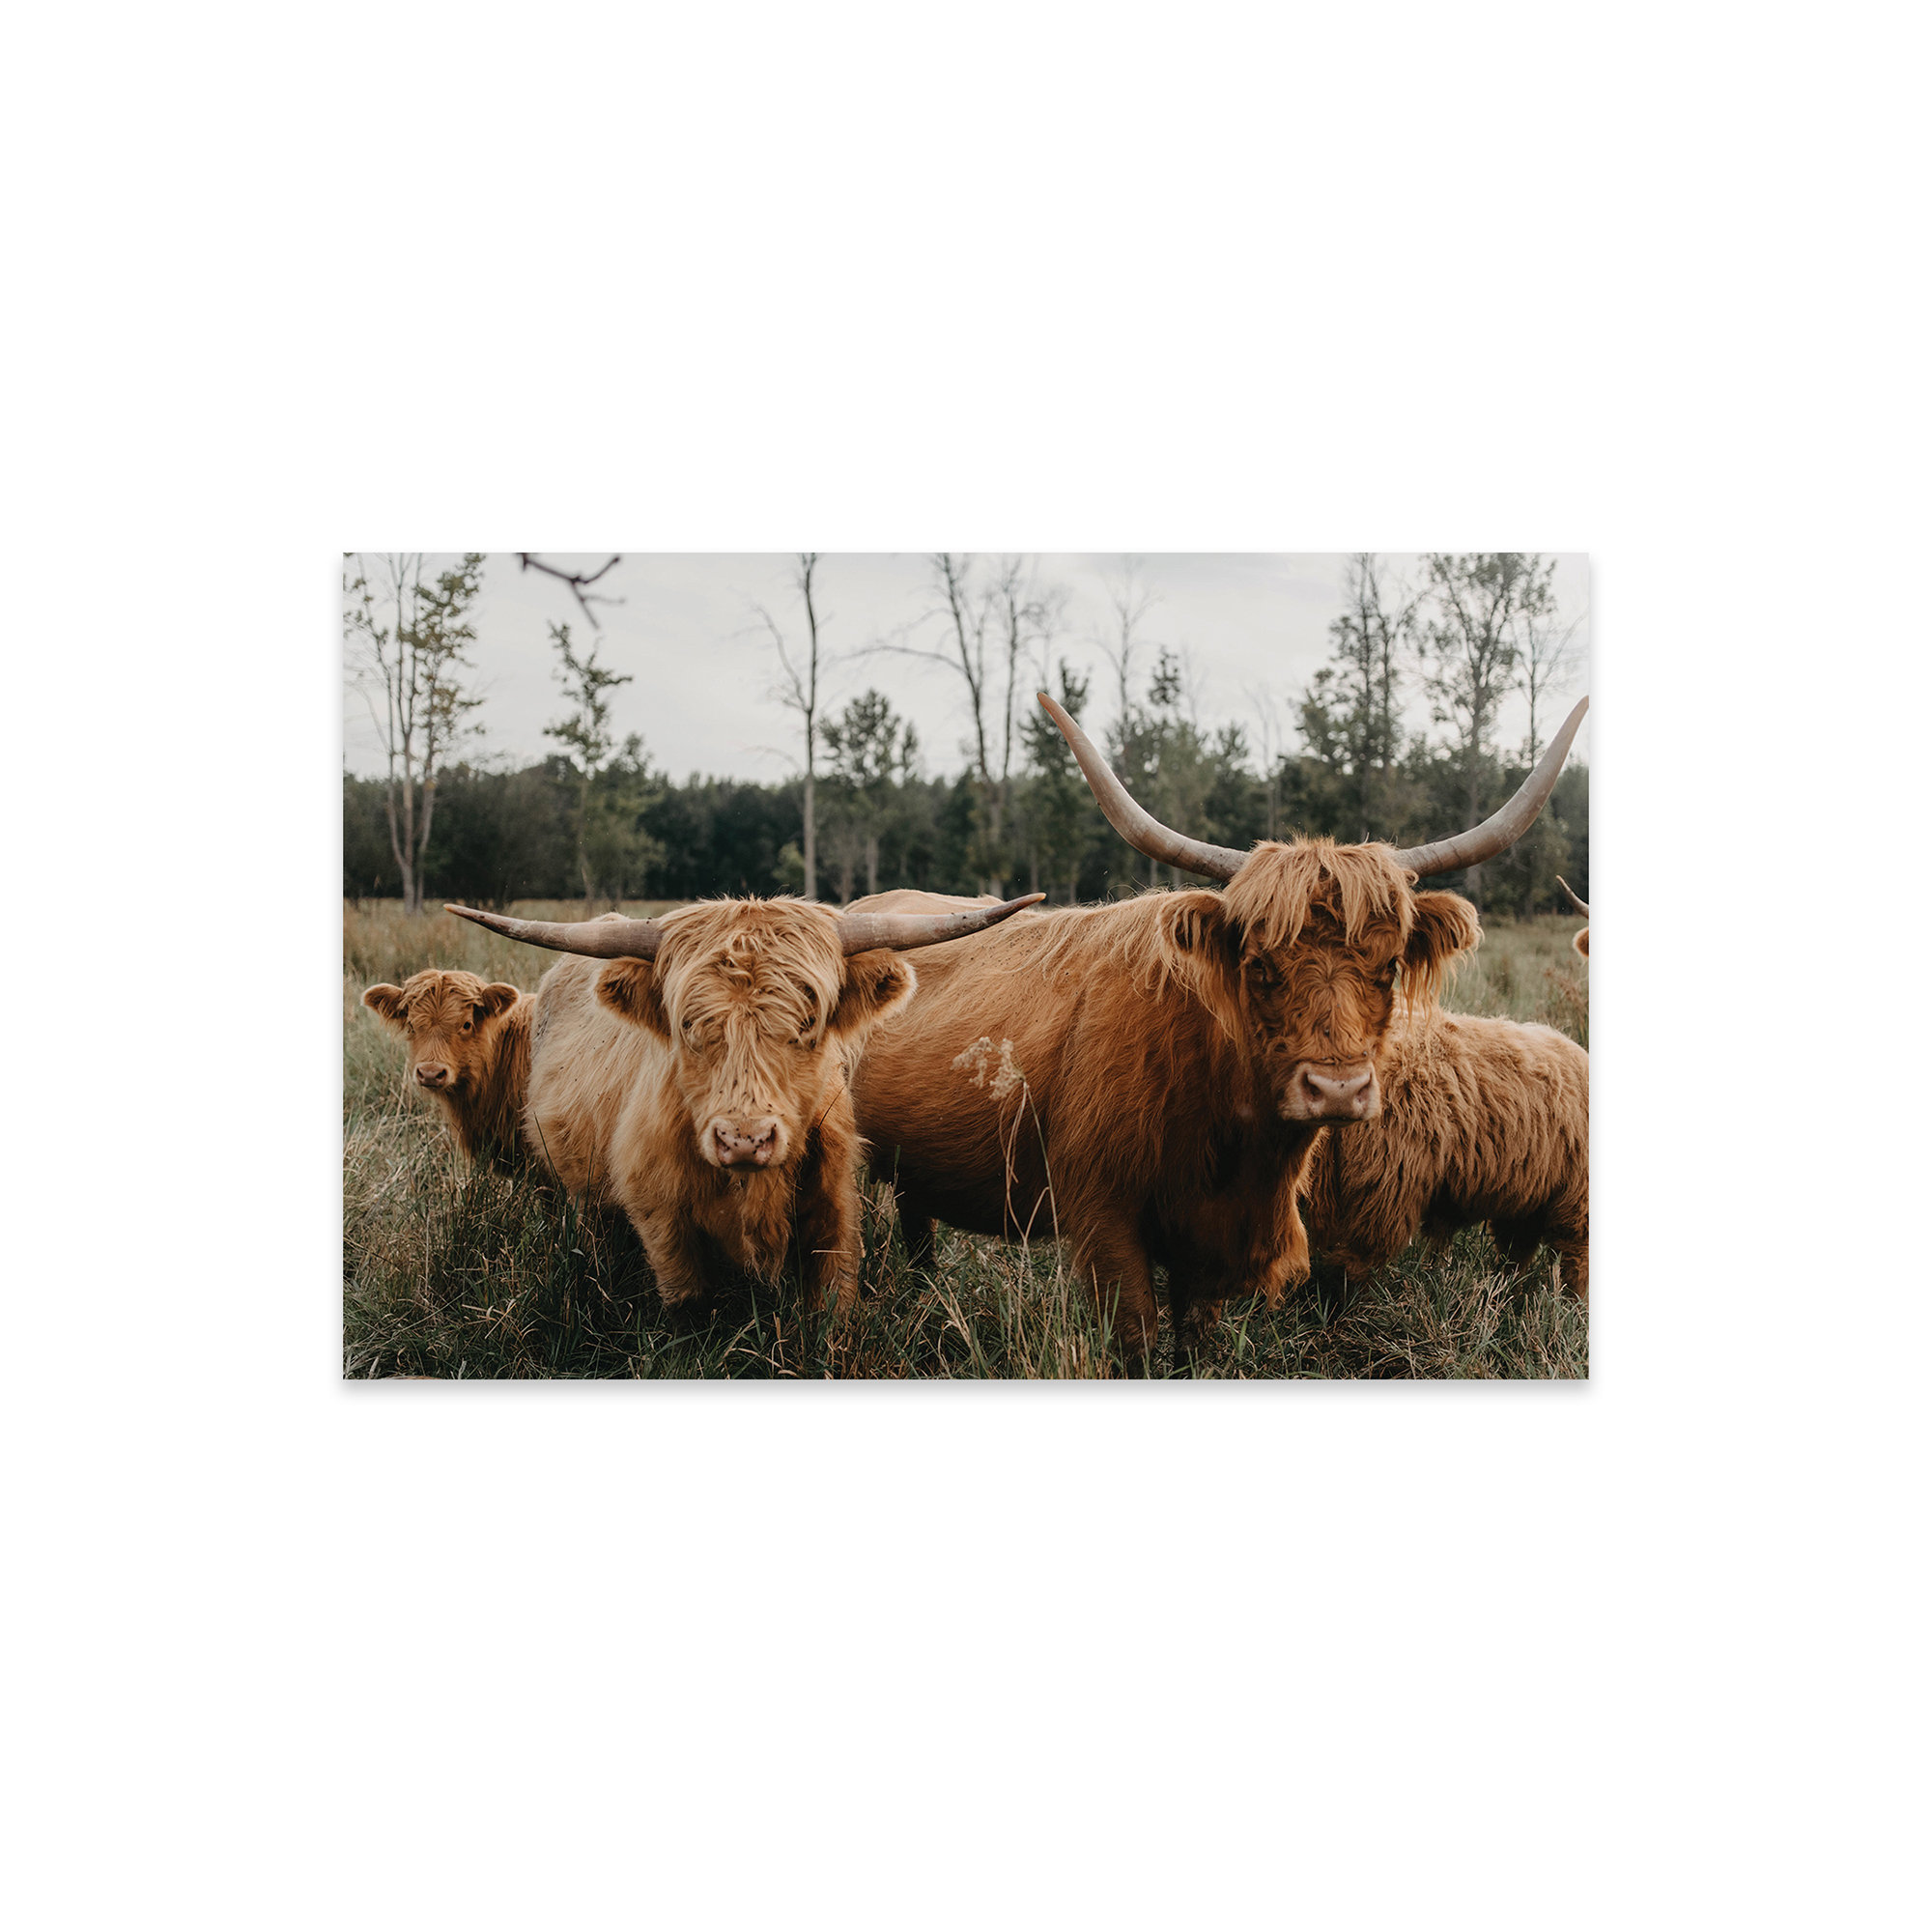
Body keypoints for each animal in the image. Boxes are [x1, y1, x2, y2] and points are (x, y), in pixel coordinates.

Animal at [442, 894, 1042, 1320]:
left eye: (809, 1021)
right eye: (687, 1024)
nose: (745, 1139)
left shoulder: (834, 1216)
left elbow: (831, 1312)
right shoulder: (662, 1222)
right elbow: (689, 1309)